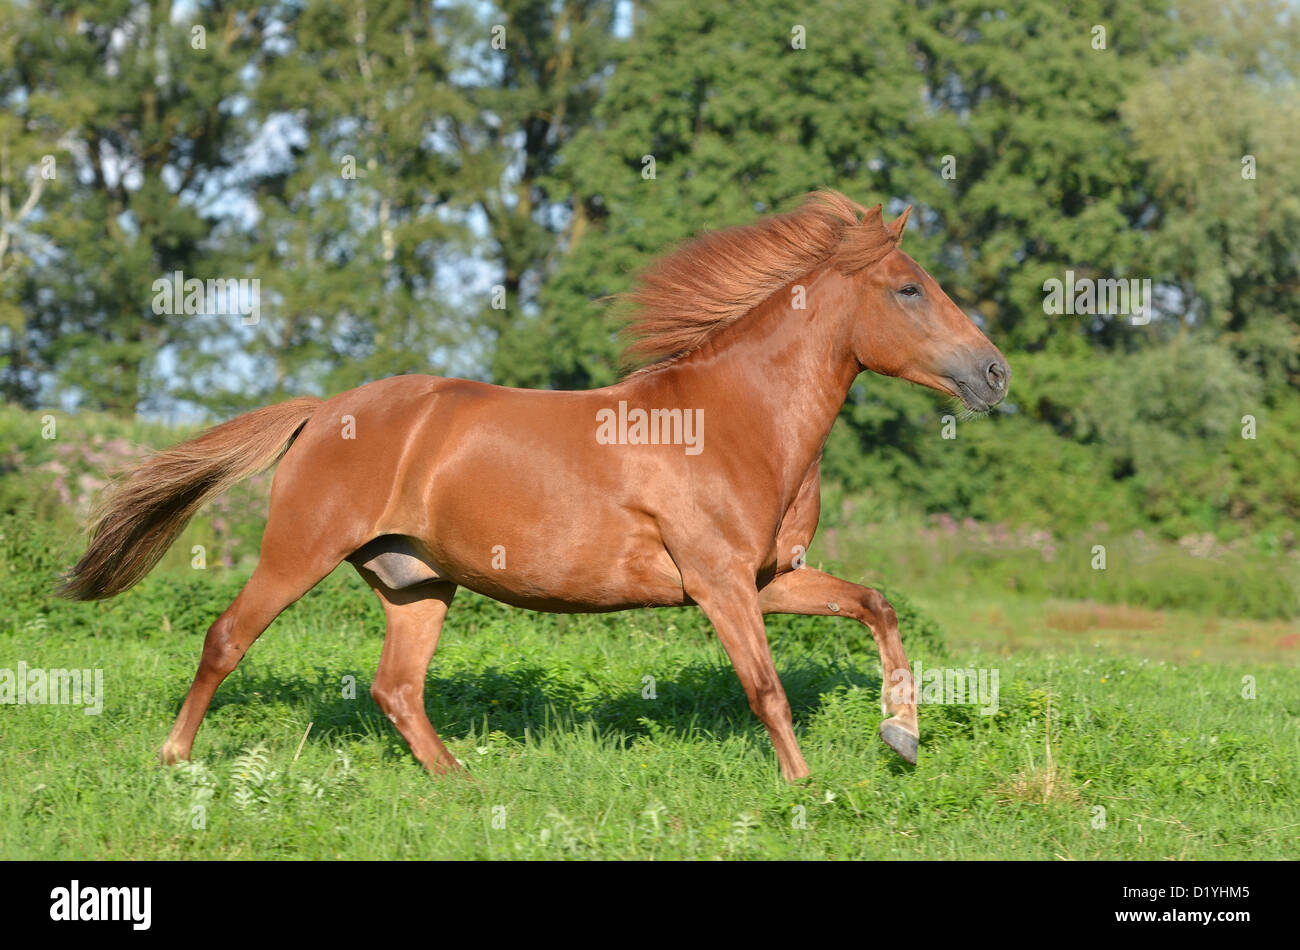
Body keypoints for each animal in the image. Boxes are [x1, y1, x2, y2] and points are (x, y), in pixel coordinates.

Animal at [60, 190, 1009, 781]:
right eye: (909, 289)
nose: (995, 374)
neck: (734, 419)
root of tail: (323, 411)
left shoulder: (767, 579)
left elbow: (876, 605)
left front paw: (901, 738)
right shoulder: (720, 583)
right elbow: (767, 689)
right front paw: (805, 785)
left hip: (417, 581)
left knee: (396, 689)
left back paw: (461, 783)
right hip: (300, 552)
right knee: (227, 639)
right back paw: (175, 760)